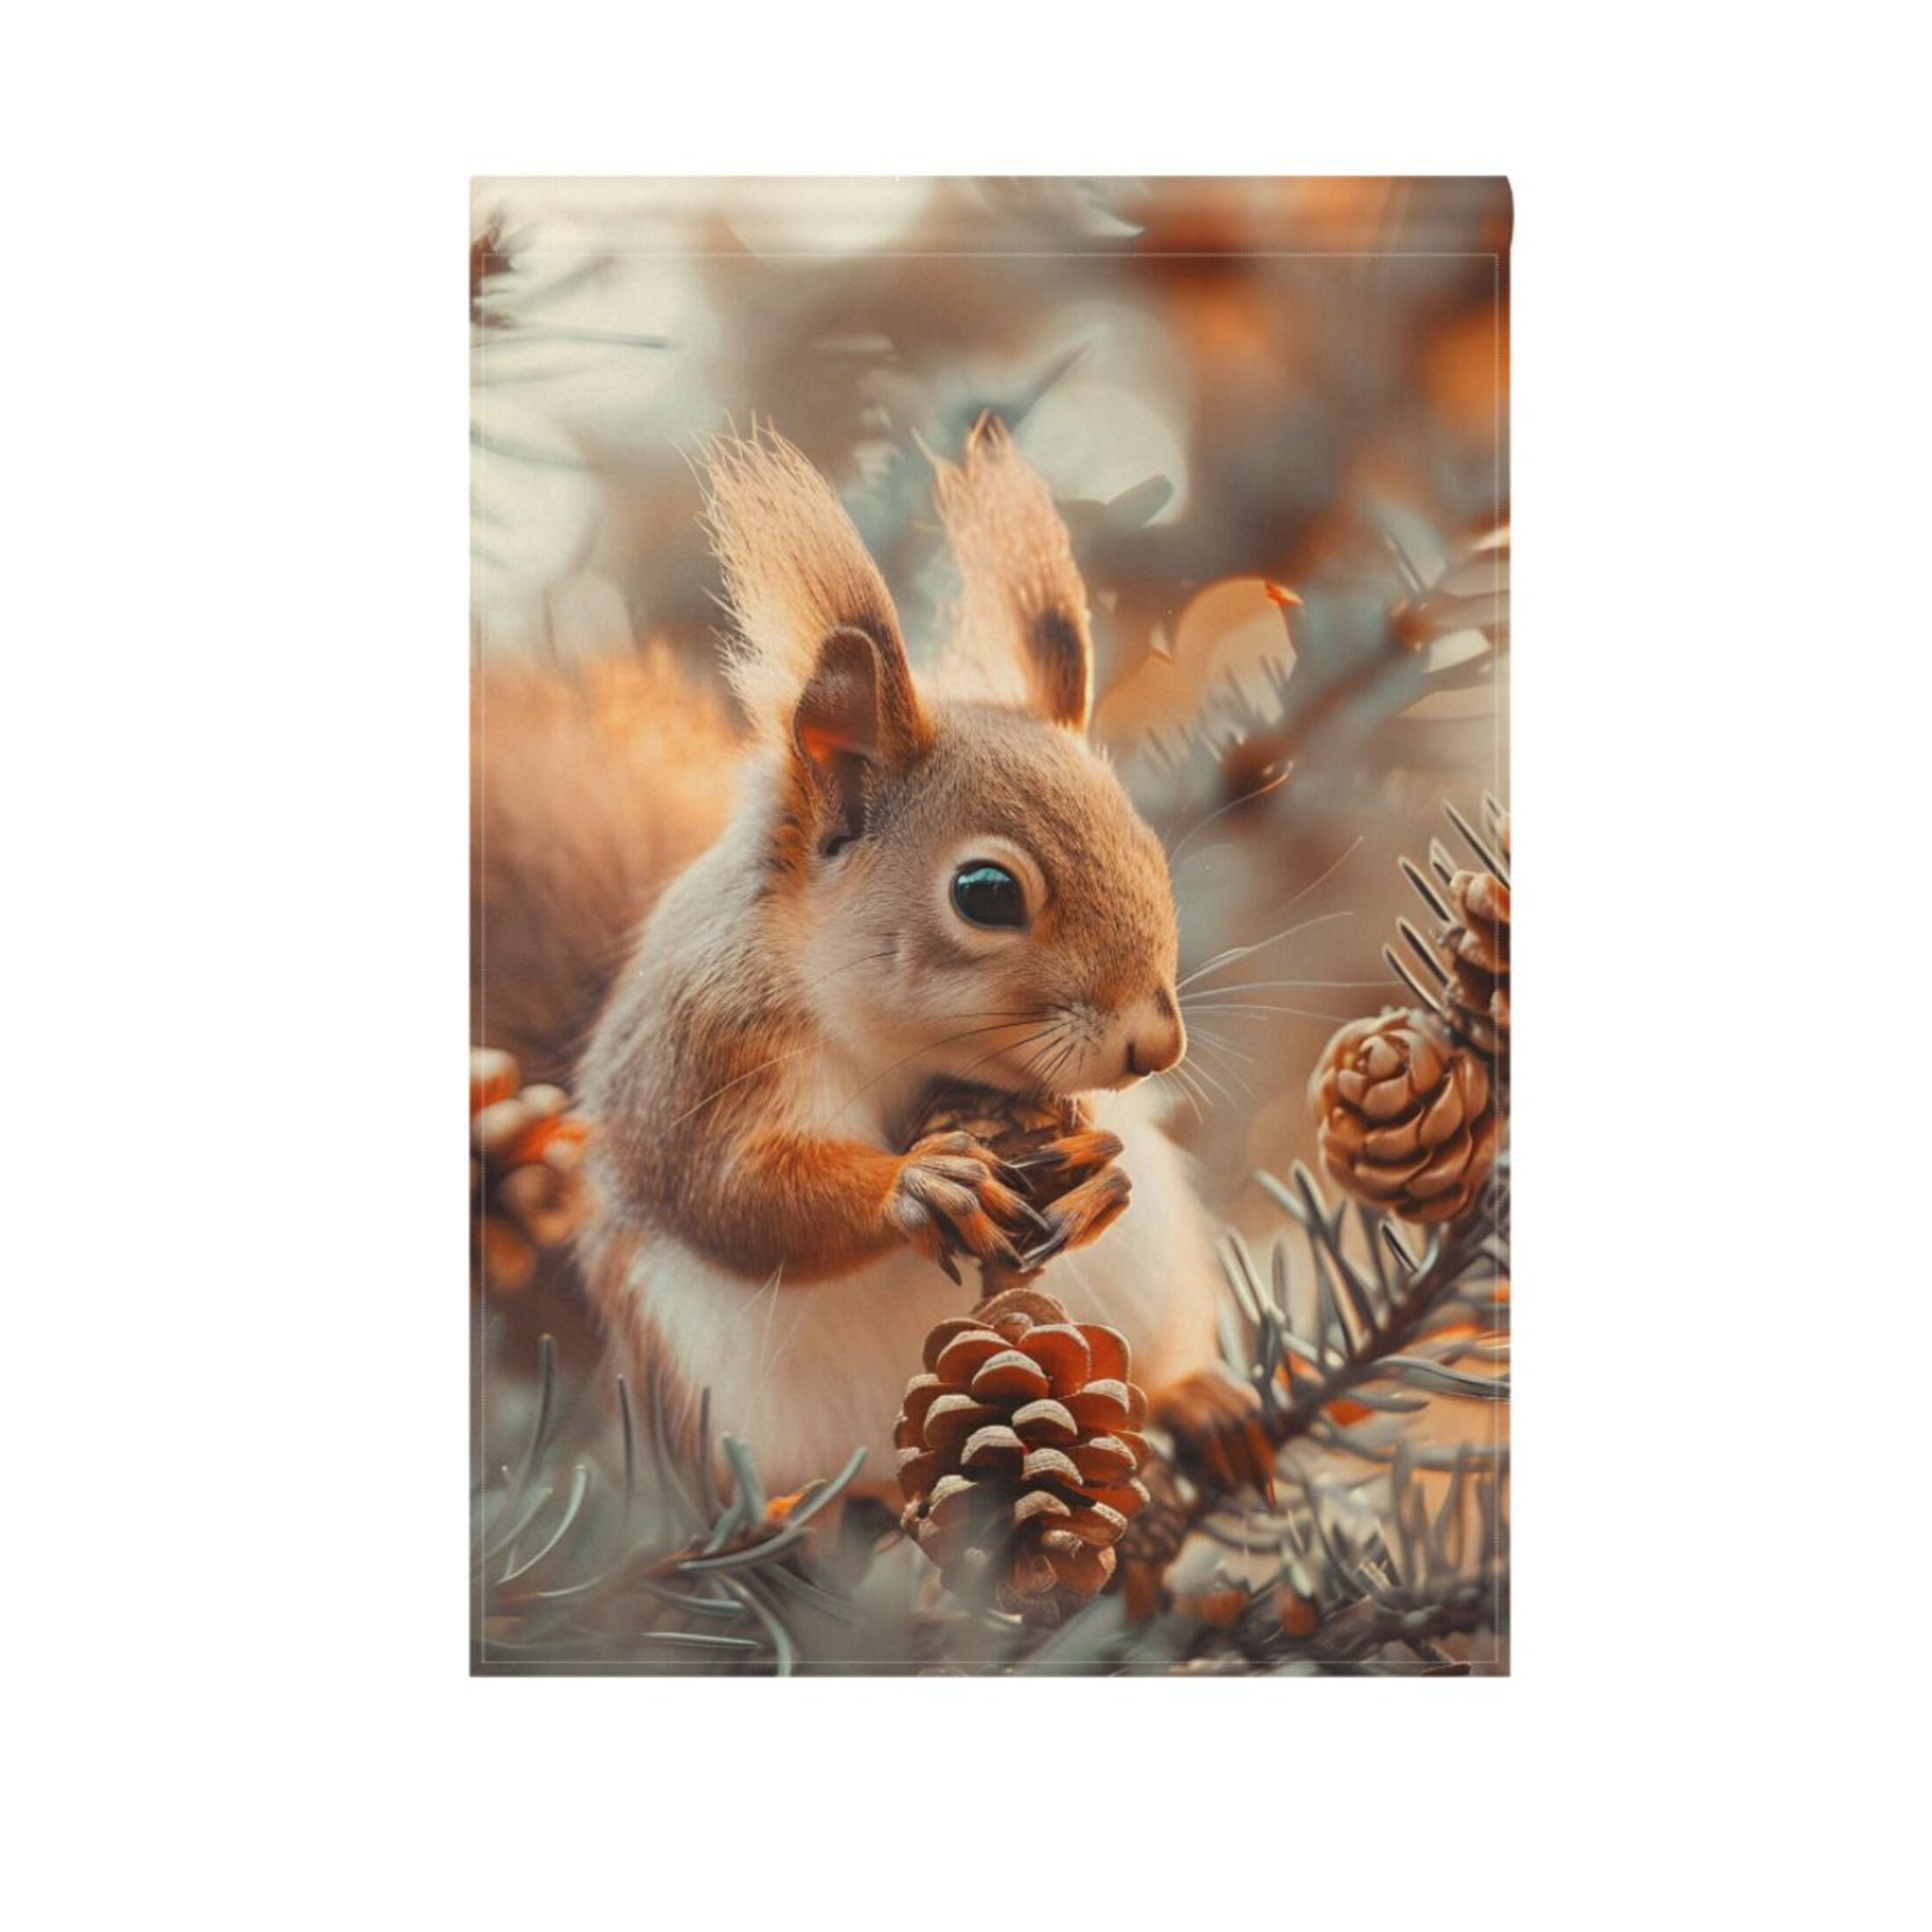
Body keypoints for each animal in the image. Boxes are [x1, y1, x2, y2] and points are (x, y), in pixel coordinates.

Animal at [475, 419, 1265, 1498]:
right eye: (987, 892)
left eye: (1147, 848)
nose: (1157, 1048)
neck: (894, 1041)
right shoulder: (702, 1056)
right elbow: (735, 1192)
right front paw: (915, 1186)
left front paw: (1098, 1165)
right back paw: (815, 1507)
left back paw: (1203, 1402)